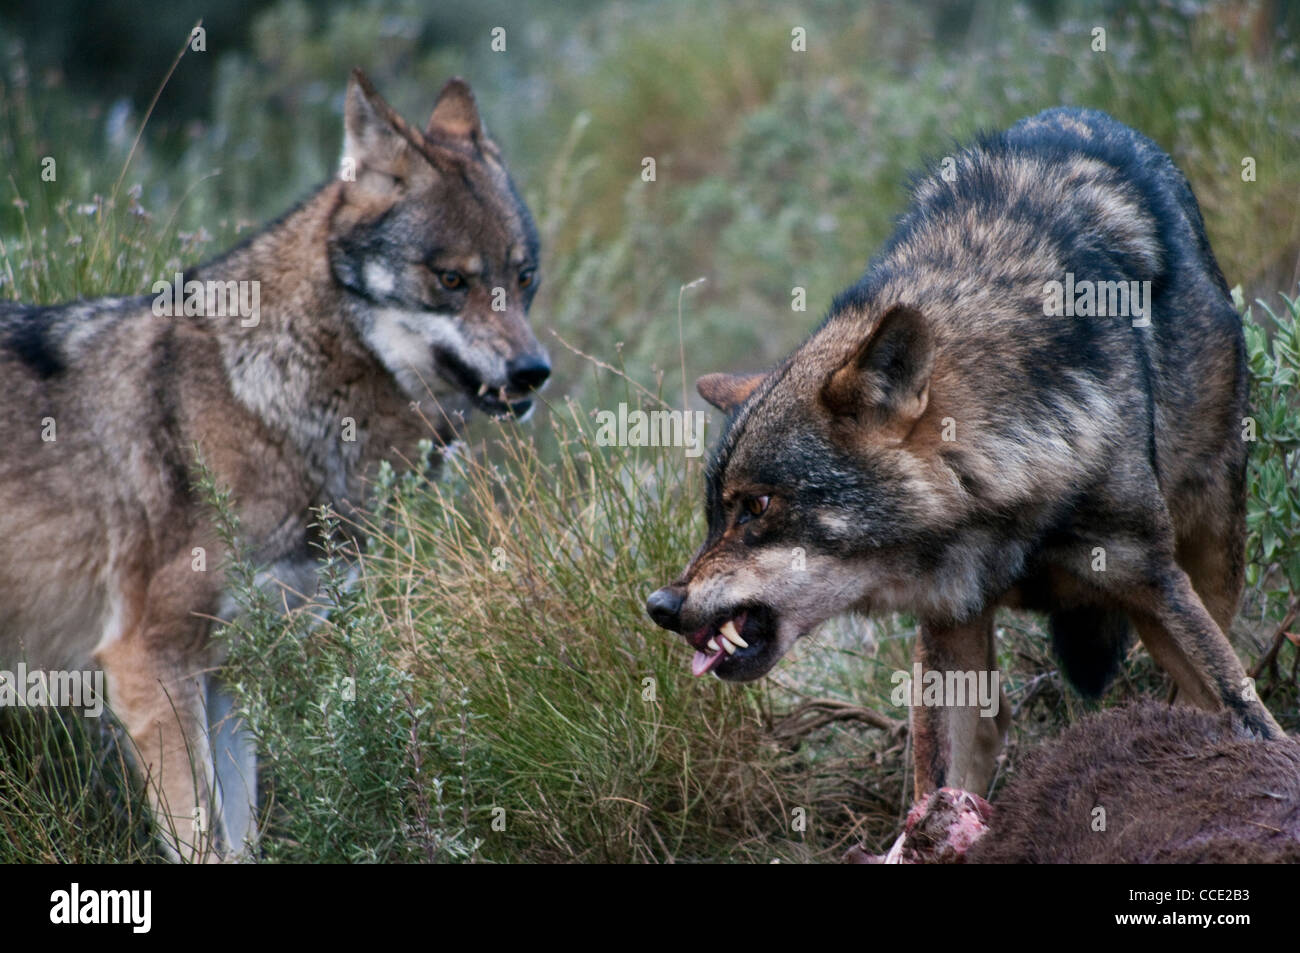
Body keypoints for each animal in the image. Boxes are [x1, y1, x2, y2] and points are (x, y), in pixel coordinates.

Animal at [0, 70, 549, 860]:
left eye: (524, 276)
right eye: (451, 280)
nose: (535, 371)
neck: (268, 399)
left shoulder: (238, 671)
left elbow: (240, 840)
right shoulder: (148, 664)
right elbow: (201, 839)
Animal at [646, 107, 1282, 801]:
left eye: (757, 506)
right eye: (713, 514)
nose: (661, 606)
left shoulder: (1151, 581)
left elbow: (1246, 712)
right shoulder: (949, 624)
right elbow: (936, 785)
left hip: (1212, 550)